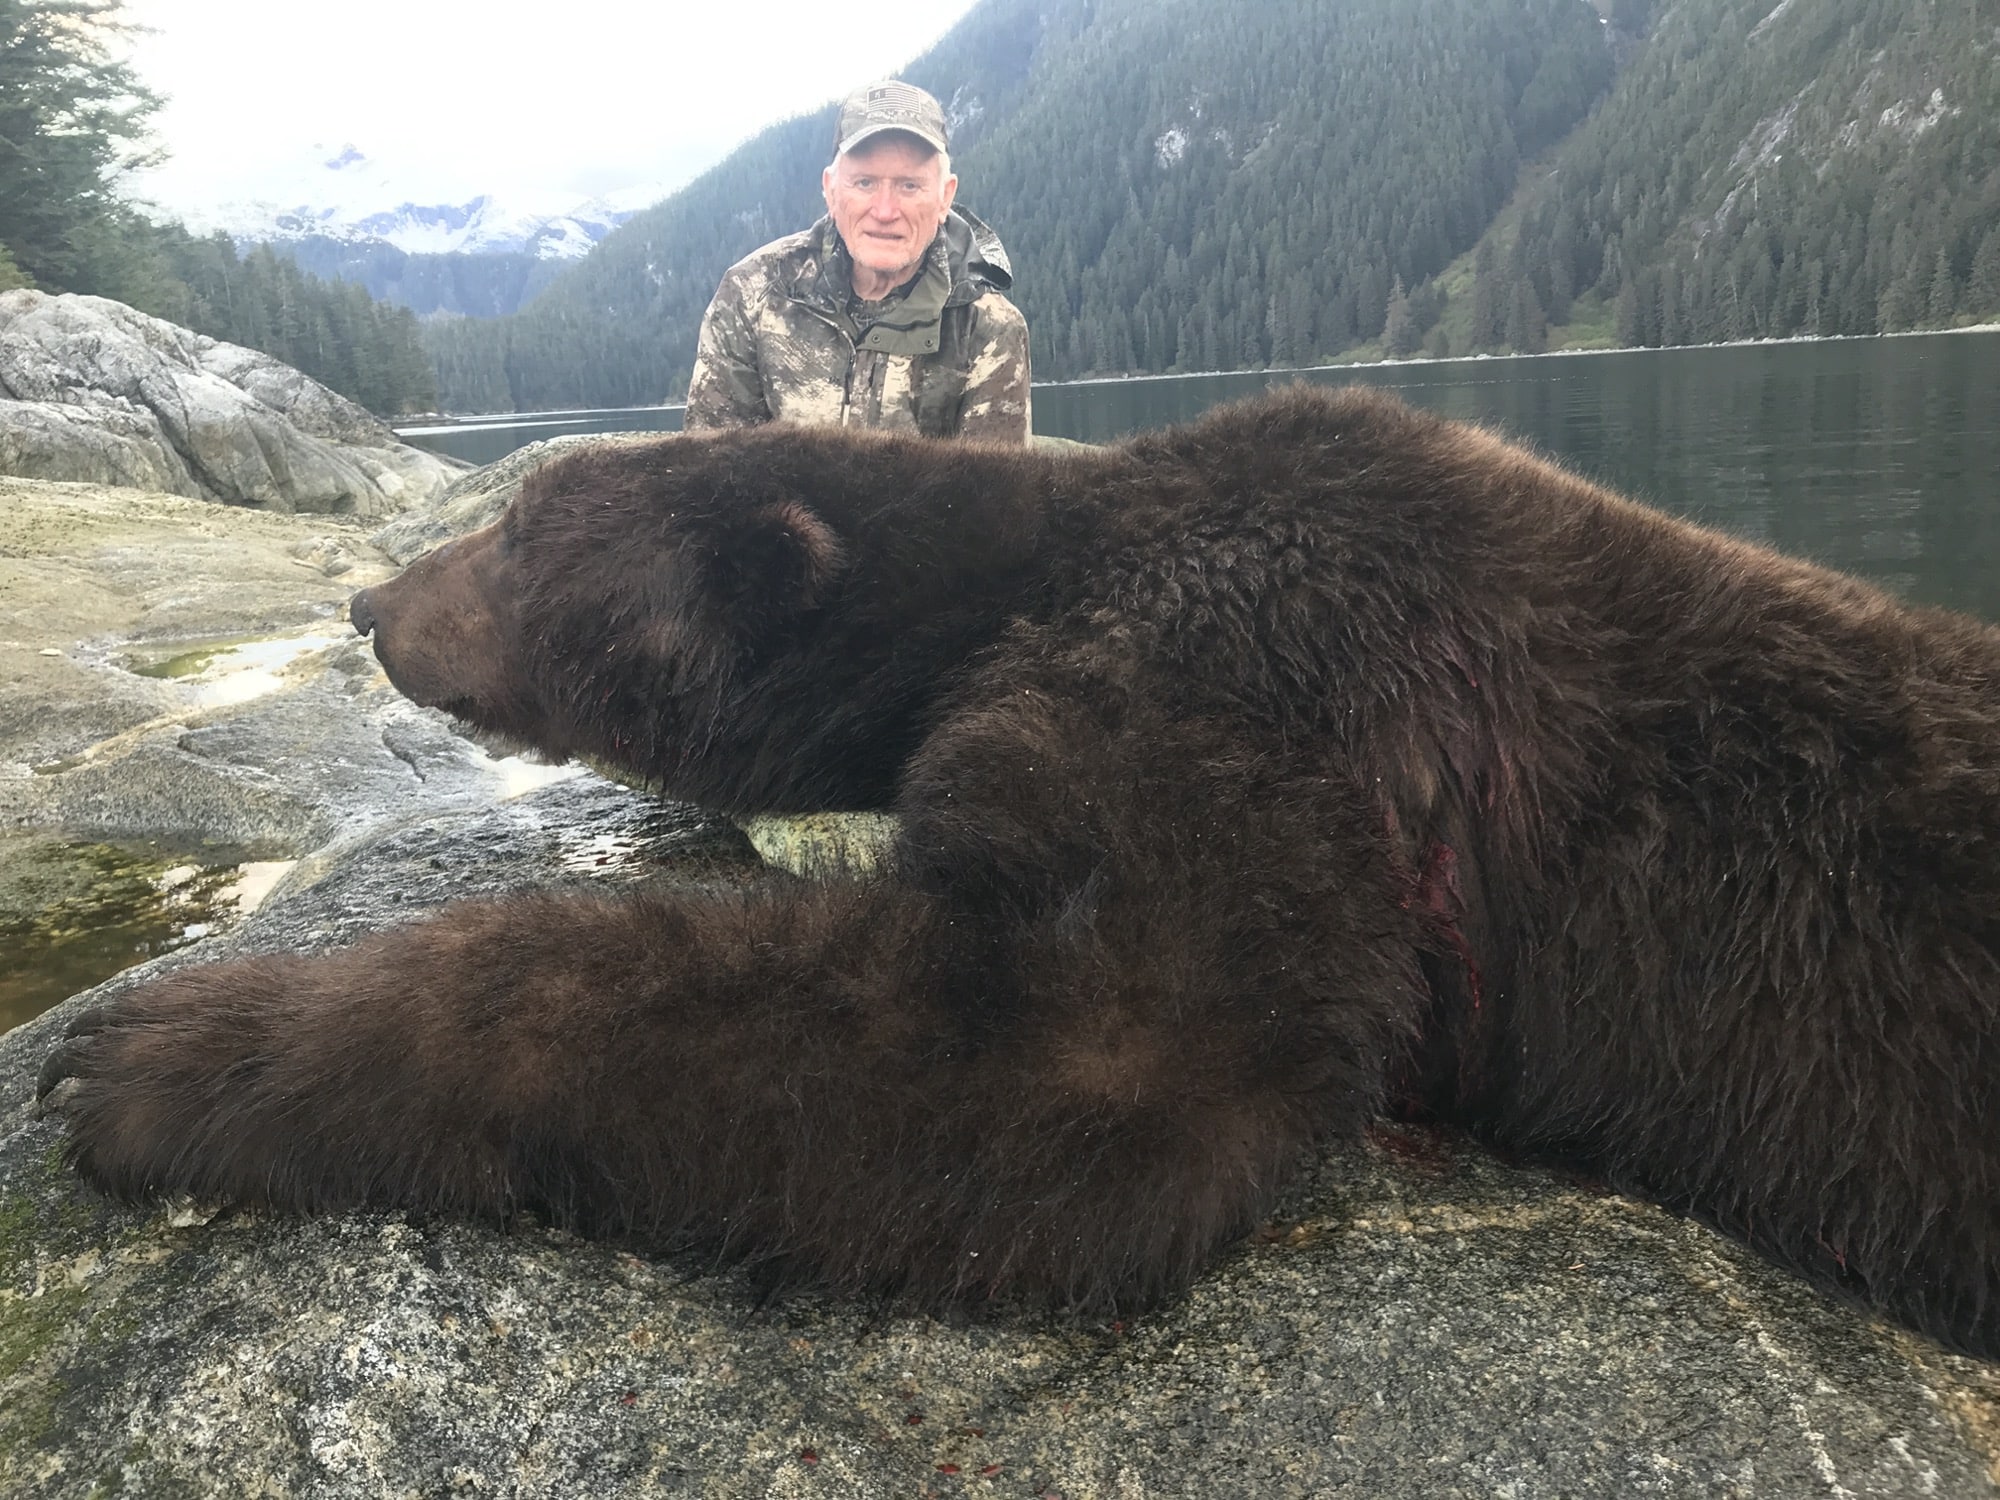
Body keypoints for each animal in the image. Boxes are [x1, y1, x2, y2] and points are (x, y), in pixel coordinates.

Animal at [37, 384, 2000, 1358]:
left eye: (516, 534)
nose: (373, 601)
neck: (1035, 561)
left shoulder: (1252, 680)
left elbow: (1080, 1076)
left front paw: (171, 1049)